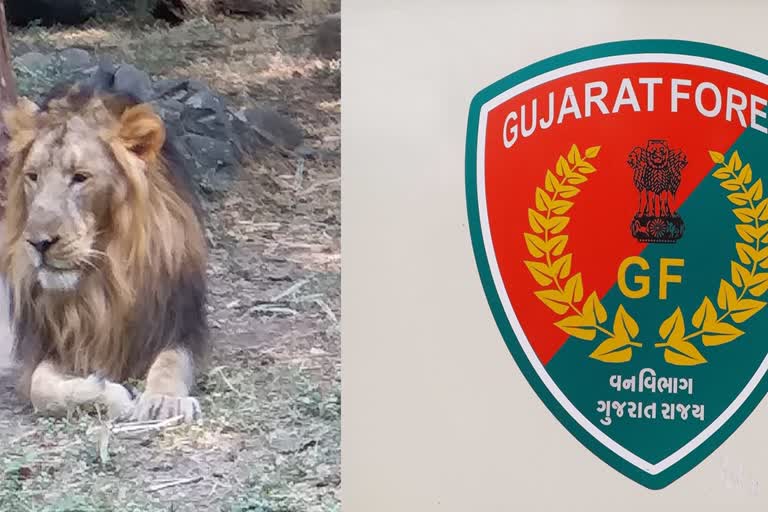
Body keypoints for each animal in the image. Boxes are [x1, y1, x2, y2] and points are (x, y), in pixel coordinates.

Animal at [0, 83, 210, 422]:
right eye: (33, 176)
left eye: (80, 177)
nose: (38, 243)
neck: (104, 276)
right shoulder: (45, 346)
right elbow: (39, 388)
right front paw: (111, 394)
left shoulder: (180, 325)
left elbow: (171, 363)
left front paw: (165, 400)